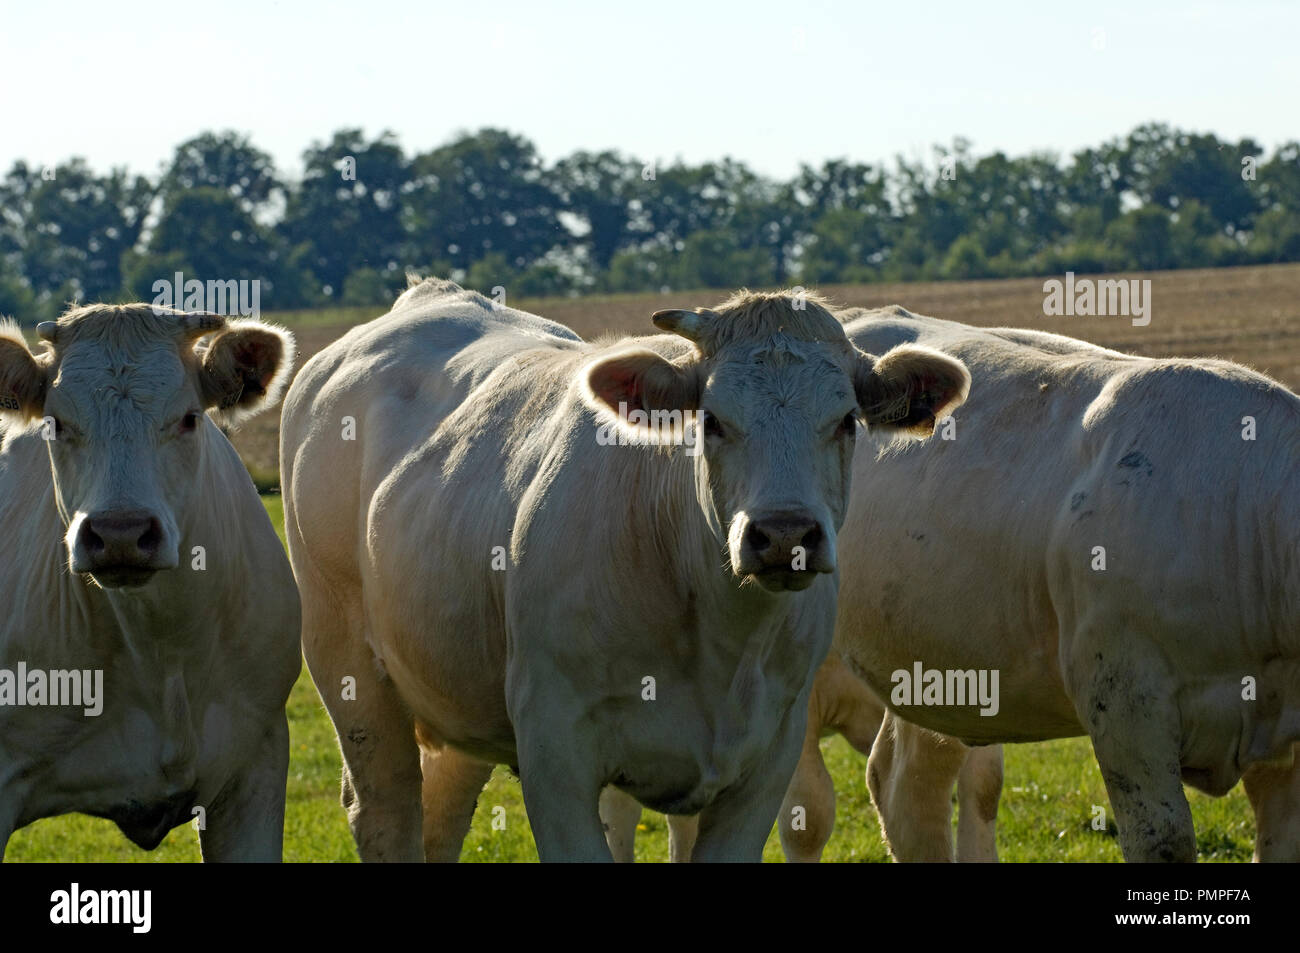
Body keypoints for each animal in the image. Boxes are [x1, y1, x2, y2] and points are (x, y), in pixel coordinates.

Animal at [280, 278, 969, 862]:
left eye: (847, 421)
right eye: (712, 420)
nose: (784, 536)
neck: (718, 635)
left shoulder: (767, 760)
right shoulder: (554, 755)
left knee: (442, 808)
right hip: (346, 663)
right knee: (386, 810)